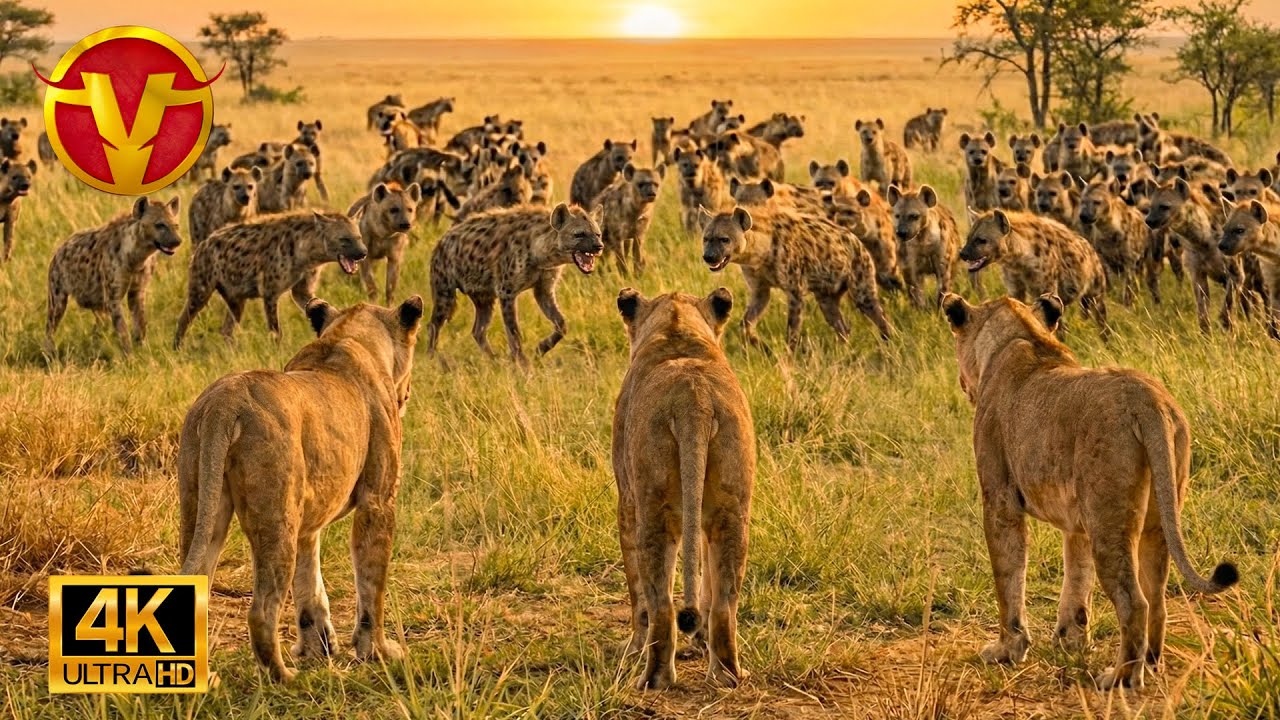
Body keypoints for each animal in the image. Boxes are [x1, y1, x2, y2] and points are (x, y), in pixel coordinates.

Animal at [176, 297, 424, 682]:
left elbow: (310, 585)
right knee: (262, 609)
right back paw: (284, 679)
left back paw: (207, 678)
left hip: (203, 505)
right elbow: (372, 583)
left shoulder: (309, 520)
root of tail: (225, 402)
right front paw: (378, 652)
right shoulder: (378, 500)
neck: (347, 337)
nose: (408, 393)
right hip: (277, 517)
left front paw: (317, 648)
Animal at [613, 287, 756, 691]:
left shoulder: (626, 502)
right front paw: (701, 640)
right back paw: (727, 674)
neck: (677, 333)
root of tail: (695, 400)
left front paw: (633, 647)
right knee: (724, 602)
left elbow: (636, 591)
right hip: (732, 510)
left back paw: (652, 678)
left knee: (660, 604)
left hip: (653, 507)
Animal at [941, 292, 1238, 691]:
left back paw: (1121, 676)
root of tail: (1147, 398)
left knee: (1134, 601)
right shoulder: (1076, 519)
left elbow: (1008, 578)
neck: (1019, 338)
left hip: (1108, 521)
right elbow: (1077, 576)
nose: (961, 382)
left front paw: (1007, 649)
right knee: (1156, 596)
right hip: (1157, 518)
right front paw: (1070, 640)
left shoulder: (1000, 500)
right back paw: (1151, 661)